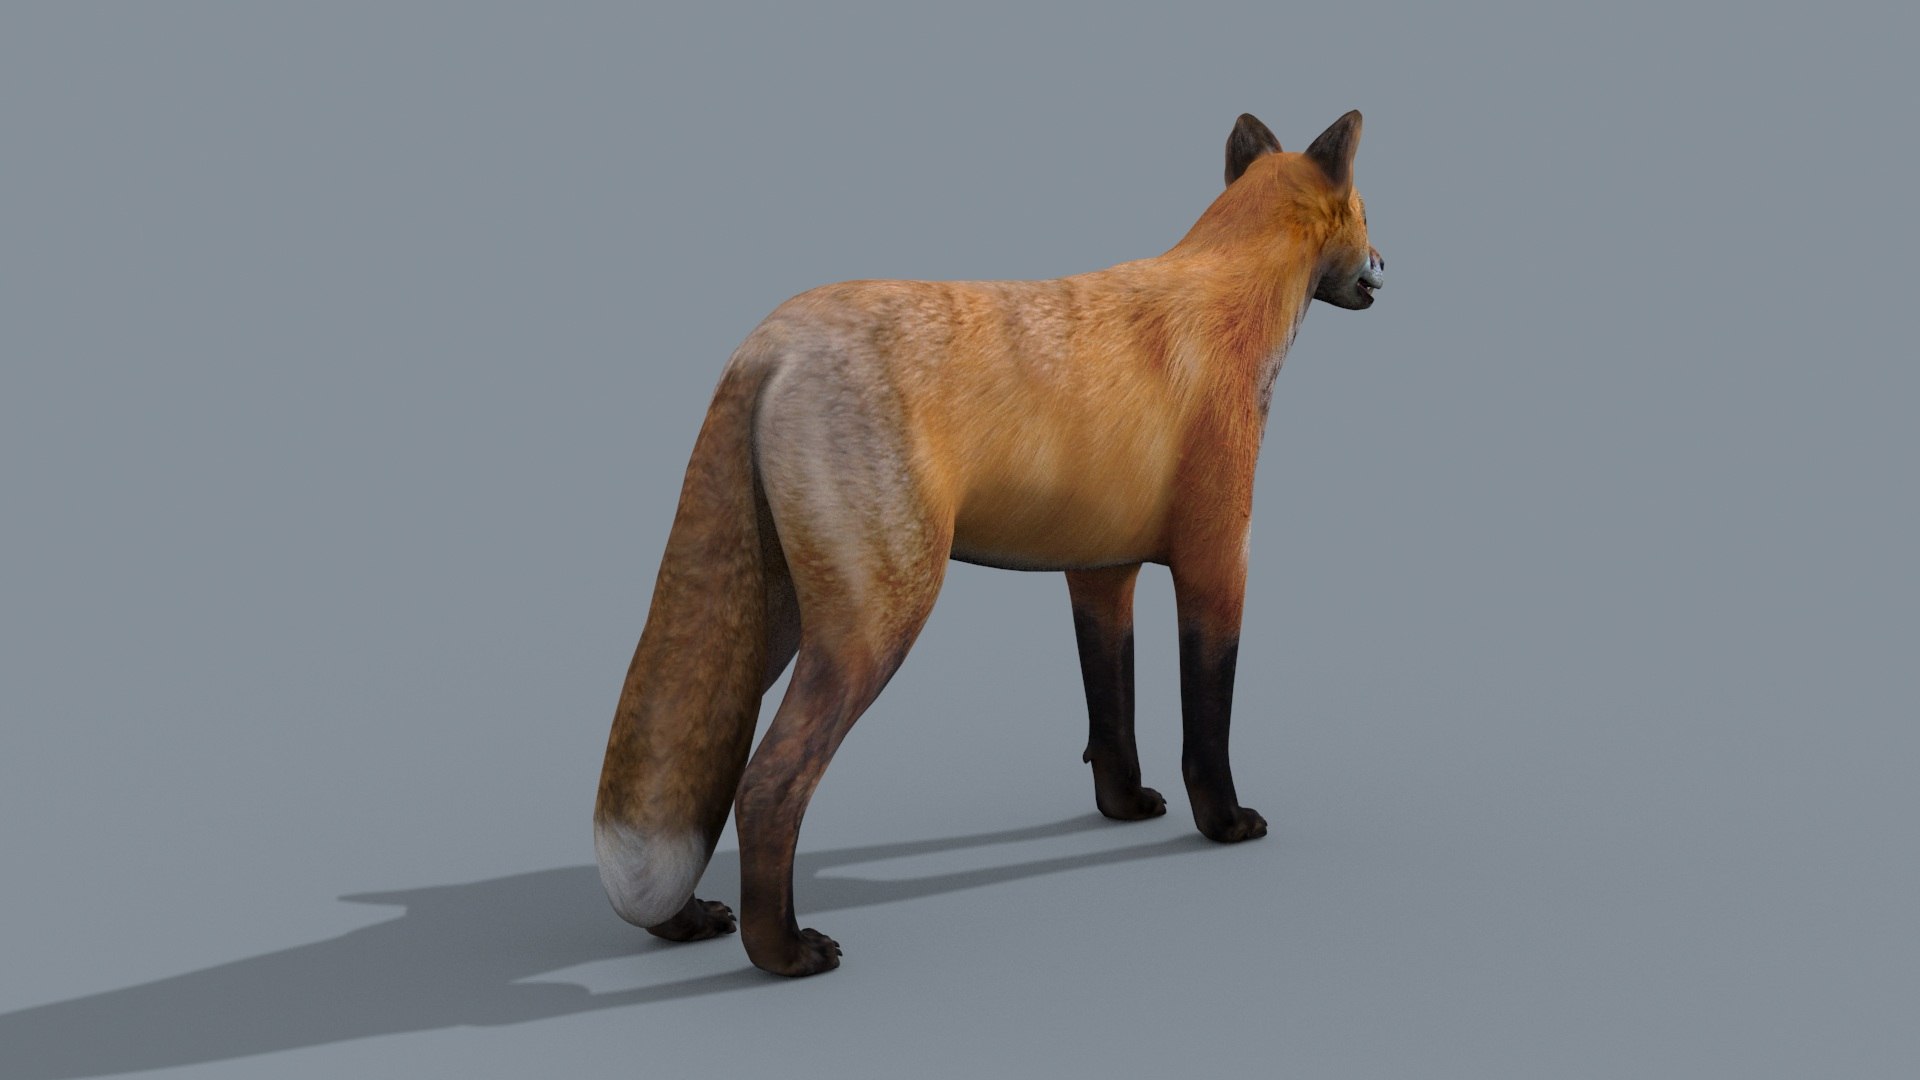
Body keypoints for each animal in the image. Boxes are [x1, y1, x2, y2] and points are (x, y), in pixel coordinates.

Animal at [594, 110, 1384, 977]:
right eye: (1366, 214)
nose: (1386, 264)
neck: (1230, 302)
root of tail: (766, 342)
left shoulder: (1099, 571)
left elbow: (1111, 712)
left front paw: (1123, 807)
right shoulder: (1218, 562)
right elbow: (1205, 722)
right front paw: (1225, 822)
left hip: (770, 621)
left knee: (696, 755)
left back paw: (681, 921)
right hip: (876, 620)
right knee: (767, 782)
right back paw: (783, 951)